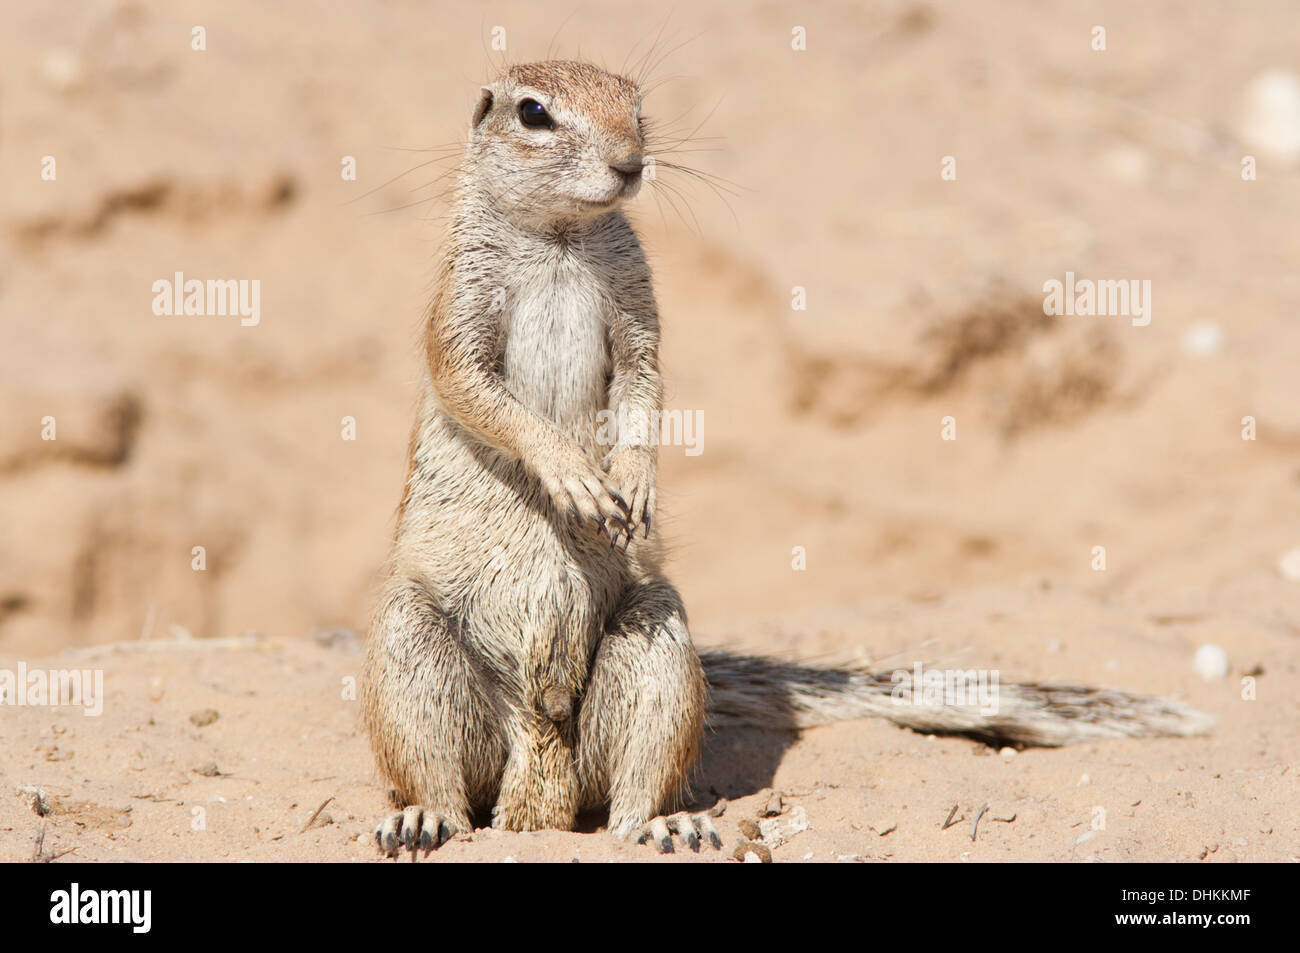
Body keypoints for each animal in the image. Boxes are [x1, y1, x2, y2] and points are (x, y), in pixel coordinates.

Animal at [359, 60, 1214, 858]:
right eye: (534, 113)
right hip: (410, 644)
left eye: (636, 104)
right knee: (440, 780)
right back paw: (423, 817)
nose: (632, 163)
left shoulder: (638, 311)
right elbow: (473, 388)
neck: (562, 238)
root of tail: (537, 779)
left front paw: (634, 479)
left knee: (630, 786)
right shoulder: (460, 308)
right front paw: (570, 469)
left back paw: (658, 823)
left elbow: (645, 385)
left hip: (655, 635)